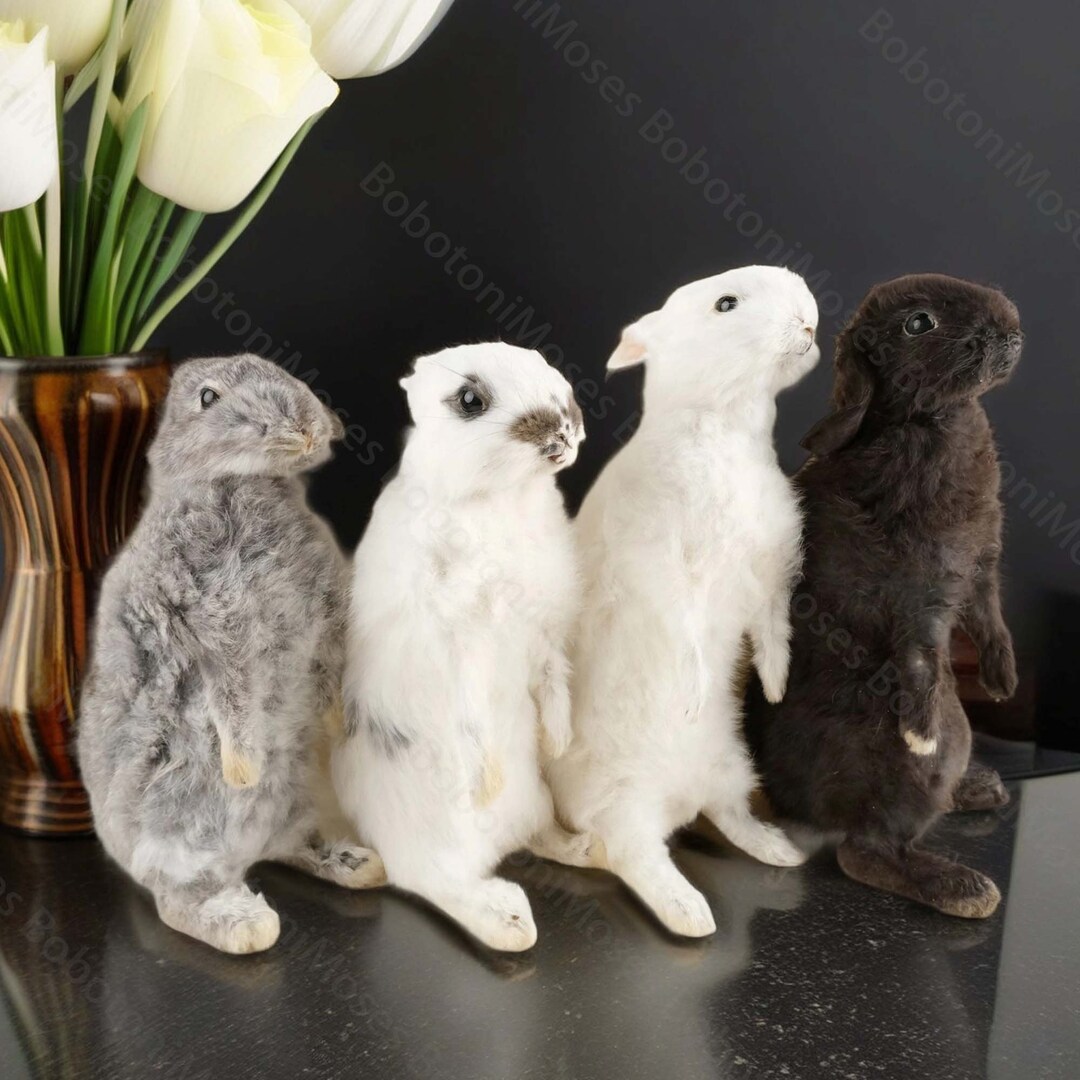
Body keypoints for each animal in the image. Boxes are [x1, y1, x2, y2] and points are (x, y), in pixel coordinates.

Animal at [77, 354, 385, 956]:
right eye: (208, 397)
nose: (308, 426)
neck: (243, 482)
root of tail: (244, 854)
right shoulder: (214, 633)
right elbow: (234, 702)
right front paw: (243, 769)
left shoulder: (328, 622)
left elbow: (332, 683)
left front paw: (341, 725)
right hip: (176, 824)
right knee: (178, 898)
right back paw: (242, 922)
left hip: (294, 801)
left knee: (292, 843)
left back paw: (355, 863)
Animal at [332, 341, 587, 952]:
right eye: (470, 399)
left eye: (544, 364)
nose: (563, 427)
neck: (501, 500)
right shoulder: (458, 645)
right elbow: (470, 719)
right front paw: (485, 780)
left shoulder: (543, 633)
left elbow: (554, 681)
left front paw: (560, 742)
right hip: (437, 846)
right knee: (434, 883)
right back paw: (510, 920)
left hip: (538, 800)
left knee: (539, 836)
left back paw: (579, 846)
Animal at [545, 265, 820, 938]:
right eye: (725, 304)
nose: (808, 320)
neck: (722, 426)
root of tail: (678, 798)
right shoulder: (662, 569)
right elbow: (685, 630)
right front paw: (692, 694)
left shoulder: (770, 574)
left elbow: (773, 628)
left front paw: (776, 685)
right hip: (624, 801)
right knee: (630, 853)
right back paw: (689, 914)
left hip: (732, 767)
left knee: (727, 816)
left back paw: (778, 849)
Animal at [746, 272, 1021, 919]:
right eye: (918, 324)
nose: (1008, 326)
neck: (928, 422)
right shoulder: (918, 590)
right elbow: (919, 656)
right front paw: (919, 734)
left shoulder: (980, 564)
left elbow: (990, 615)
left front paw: (1003, 681)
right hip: (899, 779)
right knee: (866, 852)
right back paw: (962, 886)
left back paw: (977, 788)